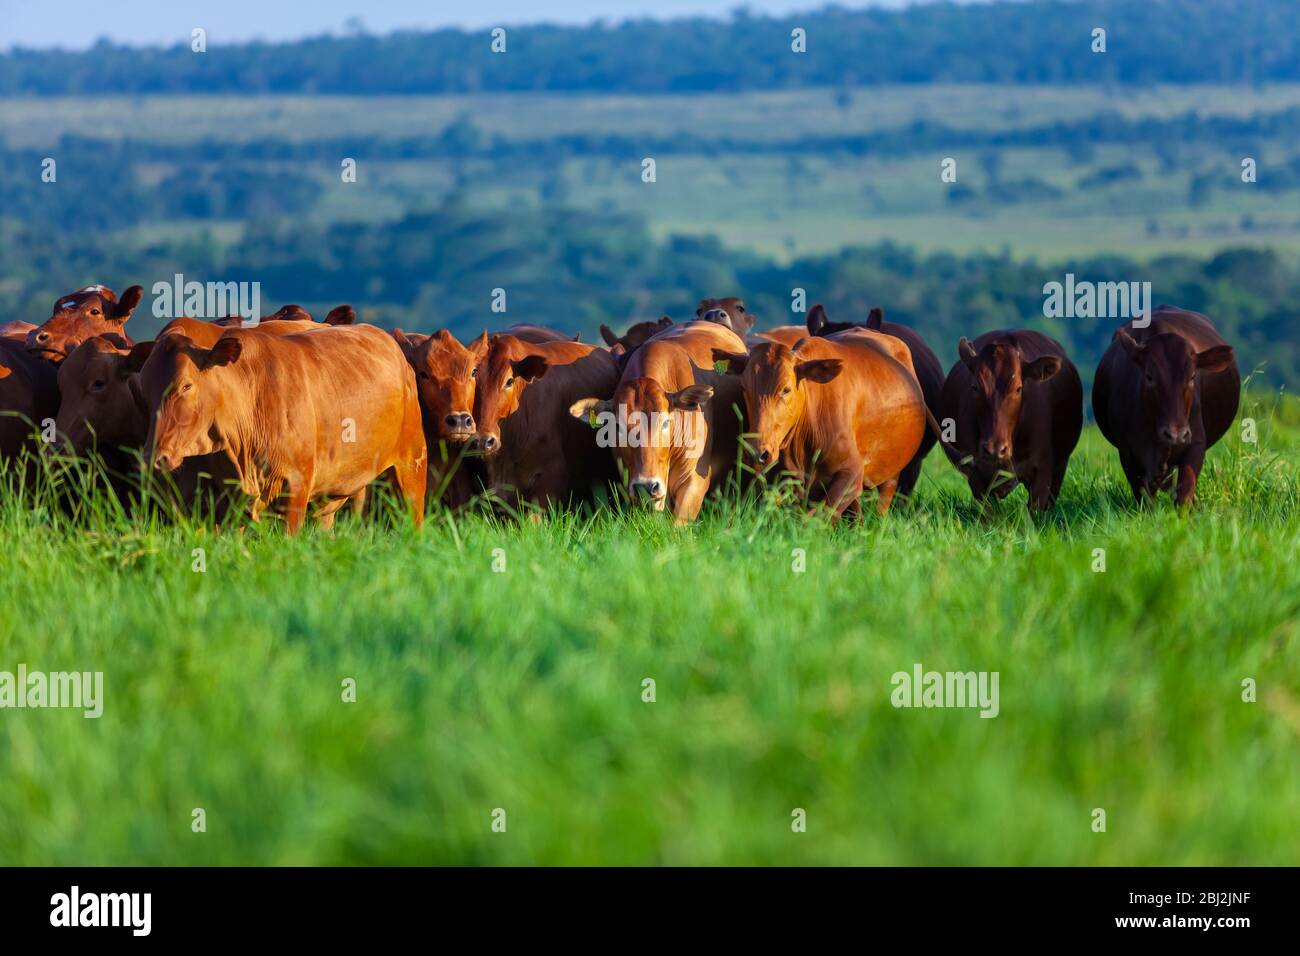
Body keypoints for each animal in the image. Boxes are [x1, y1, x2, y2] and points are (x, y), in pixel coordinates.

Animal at [137, 324, 426, 533]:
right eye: (145, 388)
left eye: (186, 385)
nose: (155, 456)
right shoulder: (231, 498)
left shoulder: (297, 485)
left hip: (412, 466)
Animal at [713, 331, 927, 518]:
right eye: (744, 387)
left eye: (786, 389)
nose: (757, 452)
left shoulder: (852, 473)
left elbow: (818, 517)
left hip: (891, 475)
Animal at [1093, 306, 1239, 508]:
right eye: (1149, 376)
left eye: (1192, 376)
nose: (1175, 434)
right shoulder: (1127, 452)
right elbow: (1144, 497)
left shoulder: (1195, 442)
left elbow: (1184, 493)